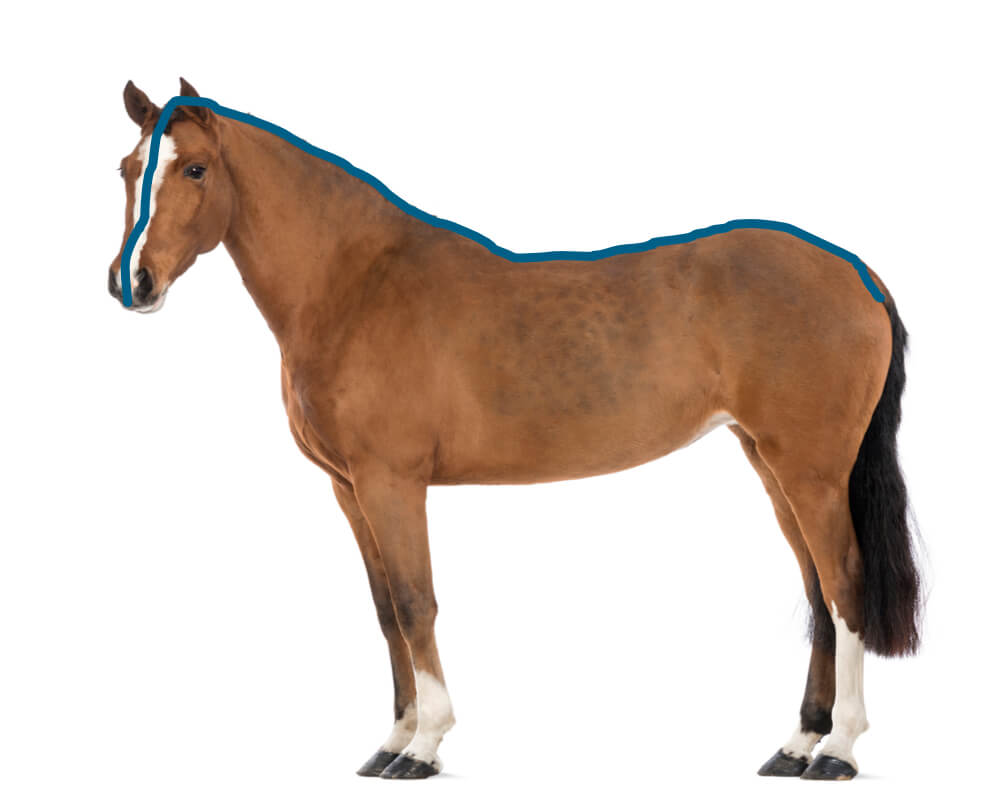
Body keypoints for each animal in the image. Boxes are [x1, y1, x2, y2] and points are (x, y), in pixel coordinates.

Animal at [108, 79, 921, 781]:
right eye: (127, 169)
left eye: (196, 169)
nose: (132, 284)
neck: (356, 282)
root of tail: (855, 272)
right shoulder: (349, 490)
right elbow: (385, 610)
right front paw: (392, 739)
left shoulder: (391, 482)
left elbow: (416, 601)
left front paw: (424, 747)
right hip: (772, 465)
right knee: (818, 596)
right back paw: (797, 744)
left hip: (812, 472)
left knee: (844, 586)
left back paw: (838, 751)